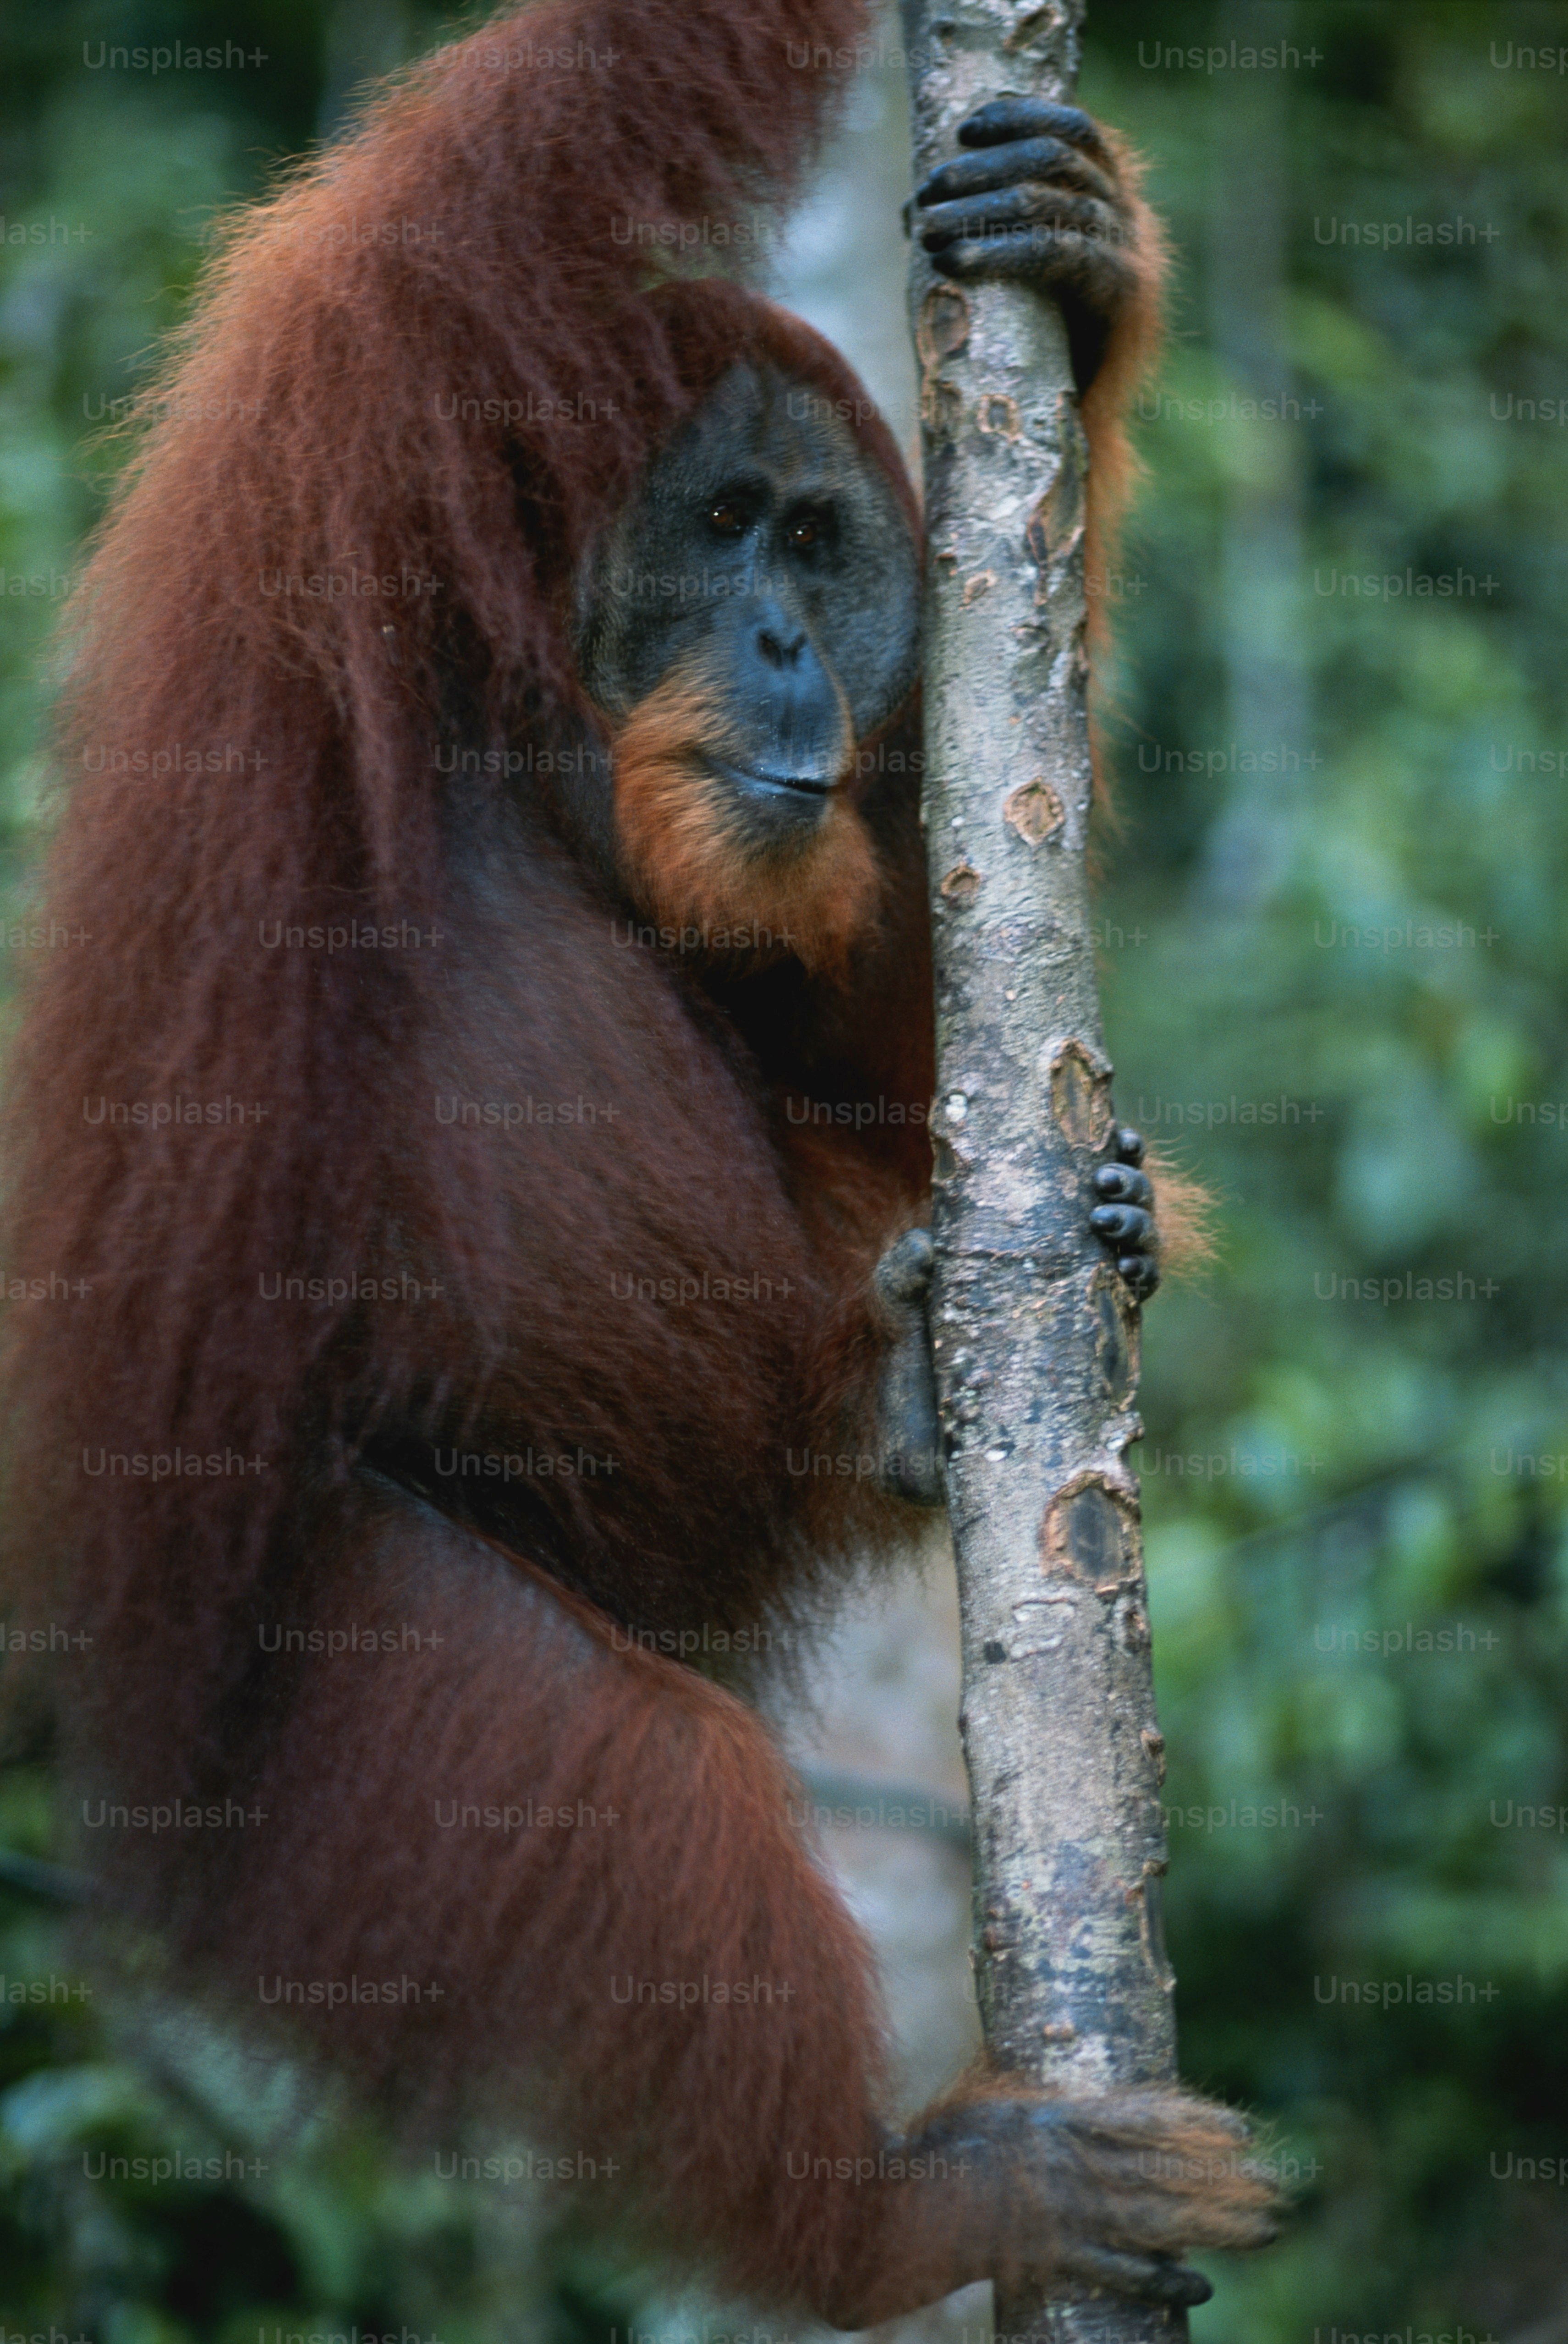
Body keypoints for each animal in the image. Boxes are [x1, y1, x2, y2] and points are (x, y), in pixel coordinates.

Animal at [0, 0, 1270, 2324]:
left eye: (820, 547)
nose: (783, 647)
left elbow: (925, 979)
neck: (530, 730)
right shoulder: (370, 409)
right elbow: (494, 187)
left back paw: (940, 1358)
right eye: (724, 523)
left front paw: (1087, 253)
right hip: (319, 1690)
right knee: (629, 1768)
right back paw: (906, 2209)